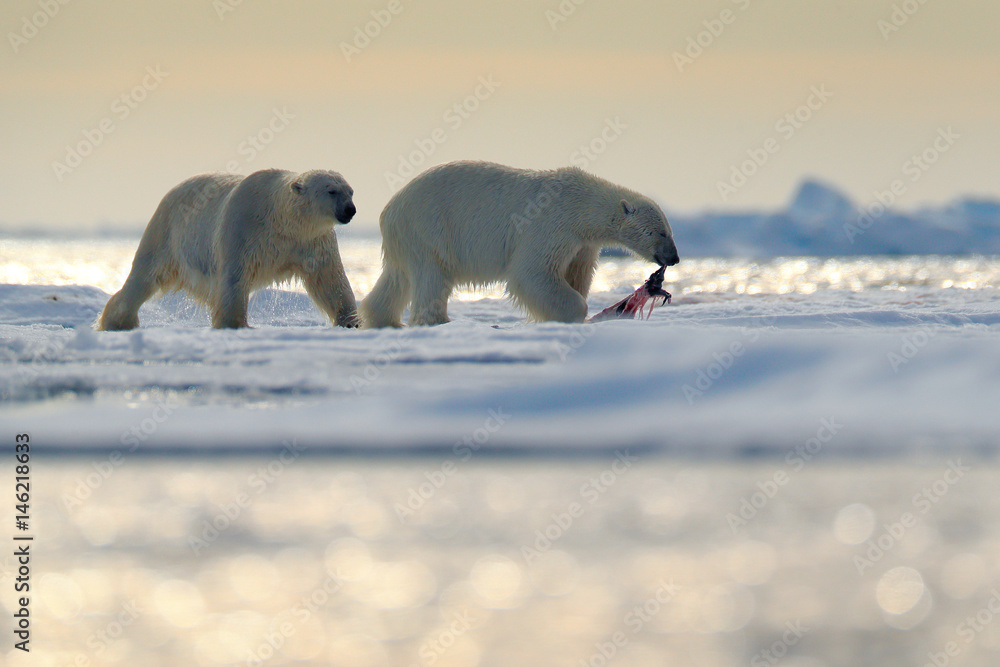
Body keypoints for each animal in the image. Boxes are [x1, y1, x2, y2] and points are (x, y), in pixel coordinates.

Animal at [99, 168, 359, 330]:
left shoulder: (311, 241)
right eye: (331, 191)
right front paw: (234, 324)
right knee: (144, 276)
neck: (280, 218)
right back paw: (116, 321)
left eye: (350, 191)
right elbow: (234, 277)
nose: (350, 209)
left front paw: (351, 320)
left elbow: (330, 279)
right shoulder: (244, 228)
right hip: (167, 232)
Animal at [360, 160, 679, 327]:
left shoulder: (581, 244)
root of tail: (388, 210)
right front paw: (571, 314)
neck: (582, 205)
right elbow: (532, 272)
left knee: (397, 278)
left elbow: (577, 274)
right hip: (429, 229)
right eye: (661, 233)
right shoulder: (552, 224)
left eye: (669, 231)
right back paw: (438, 321)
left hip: (407, 240)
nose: (674, 258)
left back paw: (384, 319)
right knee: (432, 278)